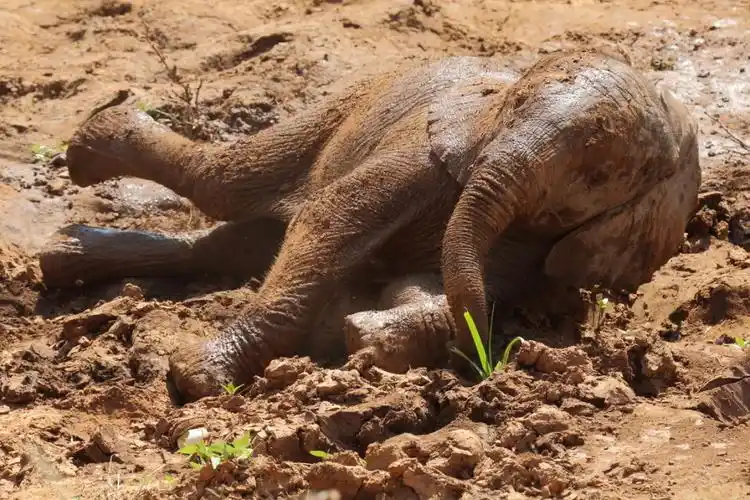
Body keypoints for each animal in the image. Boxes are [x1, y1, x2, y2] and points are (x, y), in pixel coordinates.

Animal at [39, 48, 700, 402]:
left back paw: (64, 257)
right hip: (346, 105)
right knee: (226, 183)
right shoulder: (425, 151)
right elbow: (333, 220)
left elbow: (434, 287)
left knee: (227, 245)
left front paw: (367, 336)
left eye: (597, 175)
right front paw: (200, 380)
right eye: (513, 105)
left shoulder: (541, 244)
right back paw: (93, 147)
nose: (487, 372)